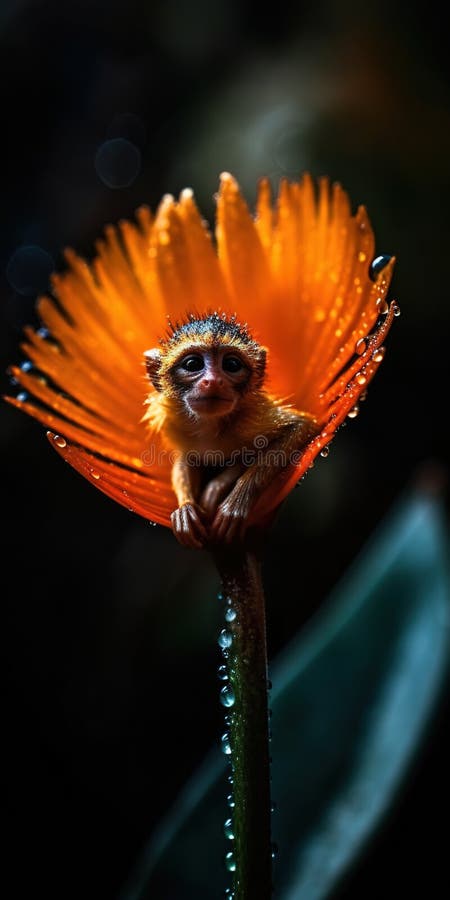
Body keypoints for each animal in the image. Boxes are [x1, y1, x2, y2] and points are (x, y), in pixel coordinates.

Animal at [143, 313, 319, 548]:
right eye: (193, 364)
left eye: (231, 364)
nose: (213, 381)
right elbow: (187, 458)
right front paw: (185, 508)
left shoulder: (252, 417)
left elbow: (300, 426)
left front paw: (233, 500)